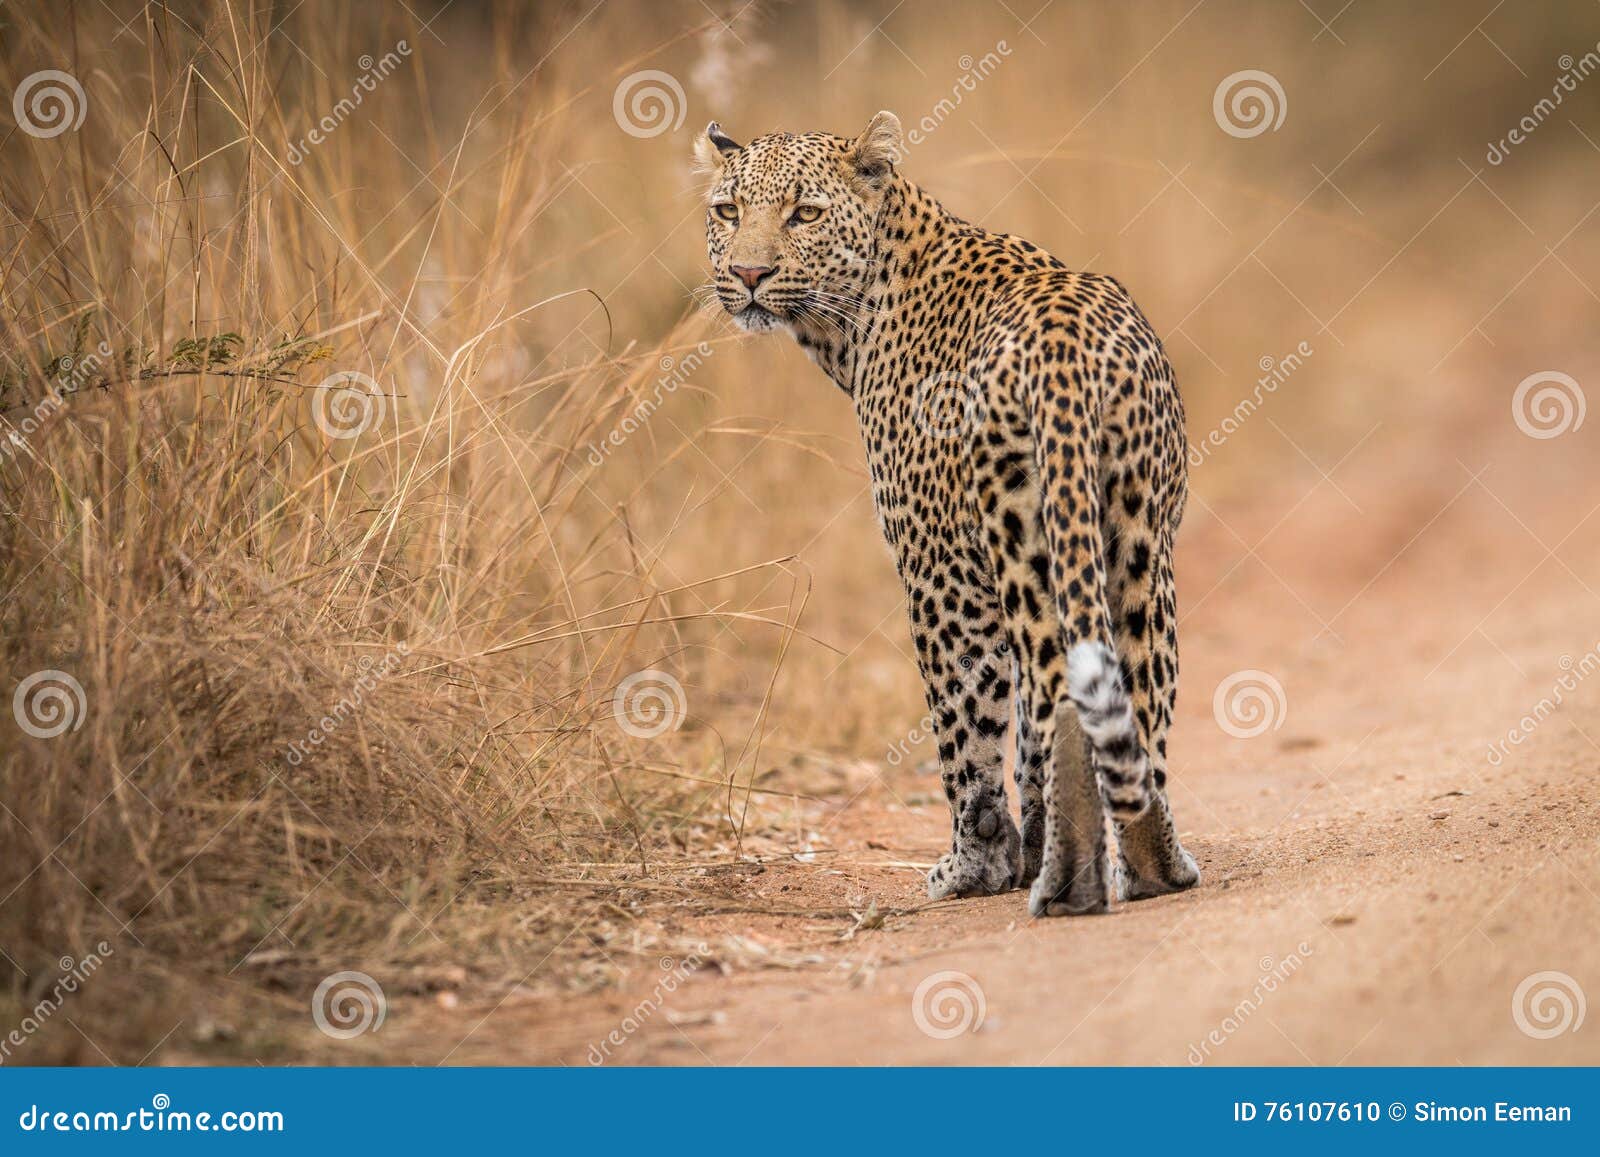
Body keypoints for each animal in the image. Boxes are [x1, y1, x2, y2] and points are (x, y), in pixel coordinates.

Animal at [695, 111, 1200, 916]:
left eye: (804, 213)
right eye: (727, 210)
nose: (746, 275)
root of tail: (1063, 354)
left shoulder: (939, 568)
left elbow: (969, 733)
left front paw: (977, 863)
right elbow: (1024, 740)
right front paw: (1024, 847)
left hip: (1014, 549)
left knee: (1053, 697)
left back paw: (1065, 881)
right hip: (1135, 546)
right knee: (1135, 700)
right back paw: (1153, 864)